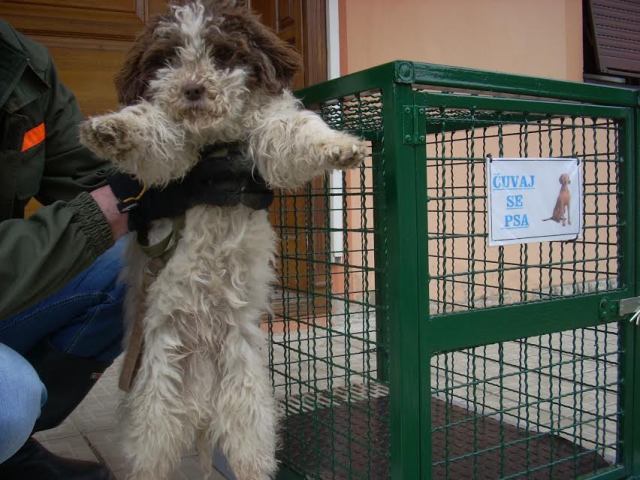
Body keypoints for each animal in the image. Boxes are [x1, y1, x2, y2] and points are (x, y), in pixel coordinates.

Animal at [79, 0, 364, 480]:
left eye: (222, 53)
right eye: (167, 58)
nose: (193, 89)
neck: (213, 140)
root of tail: (202, 408)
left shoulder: (264, 136)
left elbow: (293, 134)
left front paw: (339, 146)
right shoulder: (175, 155)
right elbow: (154, 133)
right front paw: (113, 128)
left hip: (248, 413)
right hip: (154, 414)